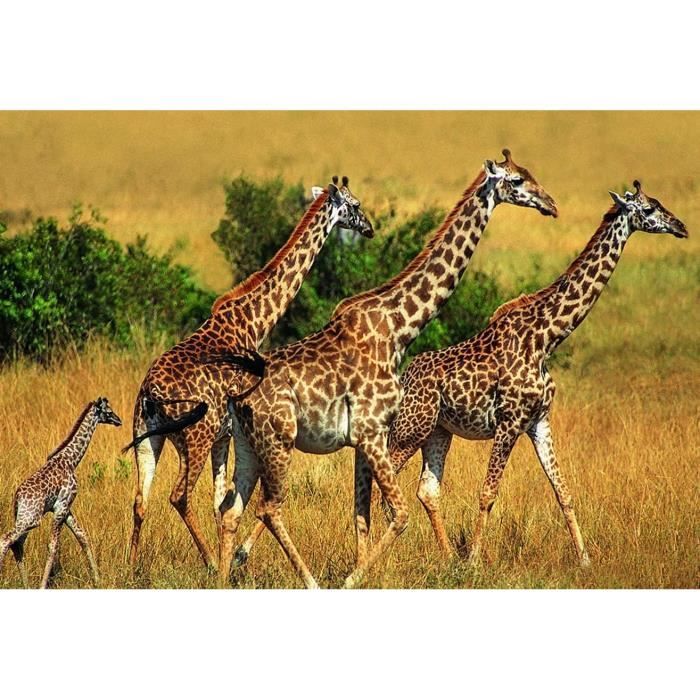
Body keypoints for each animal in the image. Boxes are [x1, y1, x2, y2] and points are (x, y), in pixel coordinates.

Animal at [0, 397, 122, 588]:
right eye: (108, 411)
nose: (119, 420)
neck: (71, 460)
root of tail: (18, 497)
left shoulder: (66, 507)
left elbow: (82, 536)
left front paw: (97, 579)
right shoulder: (61, 507)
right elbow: (53, 546)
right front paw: (43, 586)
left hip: (23, 518)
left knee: (17, 544)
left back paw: (26, 585)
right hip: (31, 519)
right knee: (5, 540)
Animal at [127, 177, 374, 571]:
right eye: (356, 205)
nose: (369, 228)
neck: (254, 320)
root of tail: (151, 393)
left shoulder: (225, 437)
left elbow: (221, 502)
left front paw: (232, 555)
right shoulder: (241, 431)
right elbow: (245, 501)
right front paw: (233, 558)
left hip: (147, 437)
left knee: (141, 498)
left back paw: (132, 566)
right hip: (194, 437)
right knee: (178, 496)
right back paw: (209, 561)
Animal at [218, 149, 558, 588]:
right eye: (516, 181)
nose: (550, 204)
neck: (399, 328)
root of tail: (235, 398)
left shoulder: (366, 438)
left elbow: (361, 514)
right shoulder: (371, 432)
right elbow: (398, 514)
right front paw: (352, 580)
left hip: (247, 445)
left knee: (231, 510)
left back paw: (219, 577)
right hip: (278, 441)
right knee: (268, 508)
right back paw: (307, 581)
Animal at [377, 180, 688, 568]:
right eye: (648, 209)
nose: (681, 226)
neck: (546, 338)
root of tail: (404, 379)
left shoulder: (538, 420)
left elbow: (563, 490)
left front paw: (585, 560)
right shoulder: (509, 421)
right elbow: (488, 492)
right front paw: (474, 561)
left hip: (437, 431)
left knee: (427, 489)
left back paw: (445, 557)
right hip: (411, 429)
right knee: (383, 479)